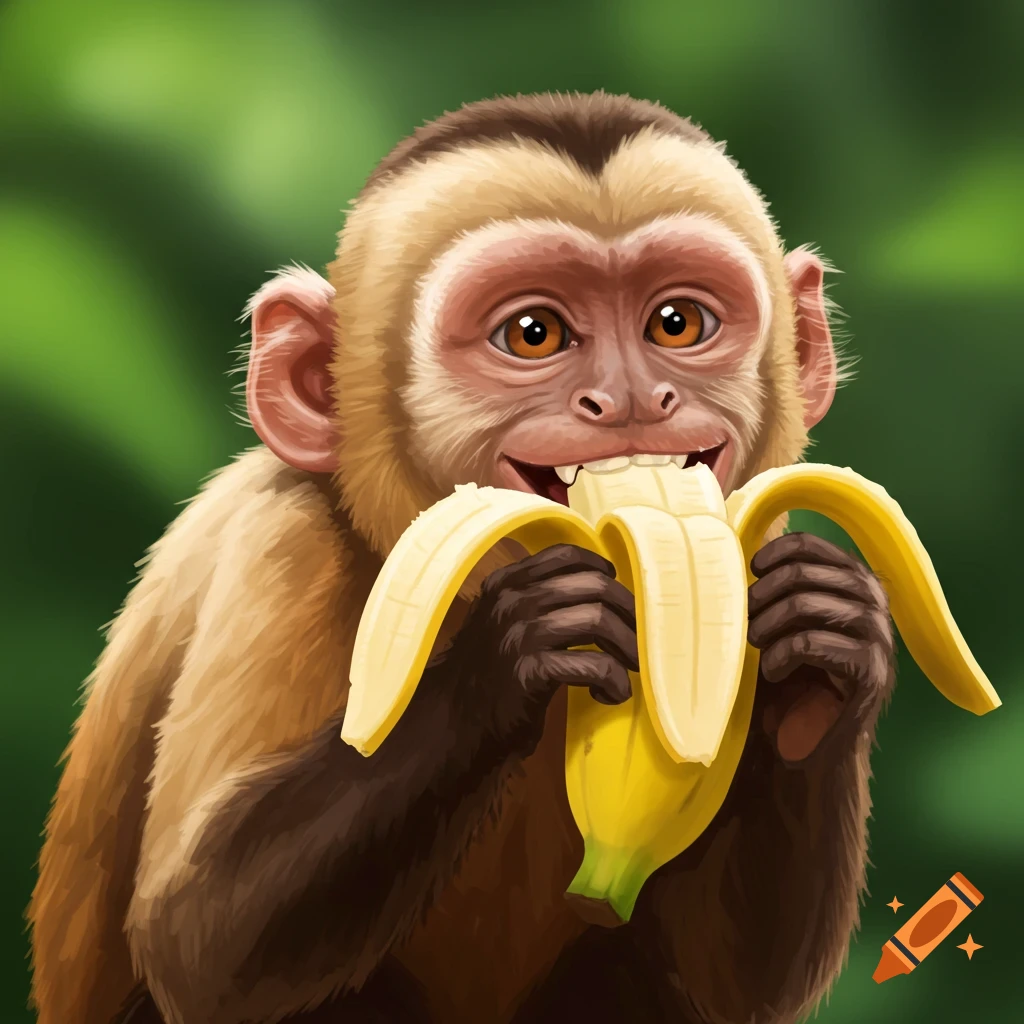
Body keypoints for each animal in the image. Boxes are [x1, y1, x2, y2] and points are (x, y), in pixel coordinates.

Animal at [28, 91, 895, 1024]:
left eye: (677, 323)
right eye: (534, 334)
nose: (631, 399)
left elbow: (730, 990)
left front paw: (824, 643)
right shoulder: (284, 544)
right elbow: (195, 946)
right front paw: (515, 648)